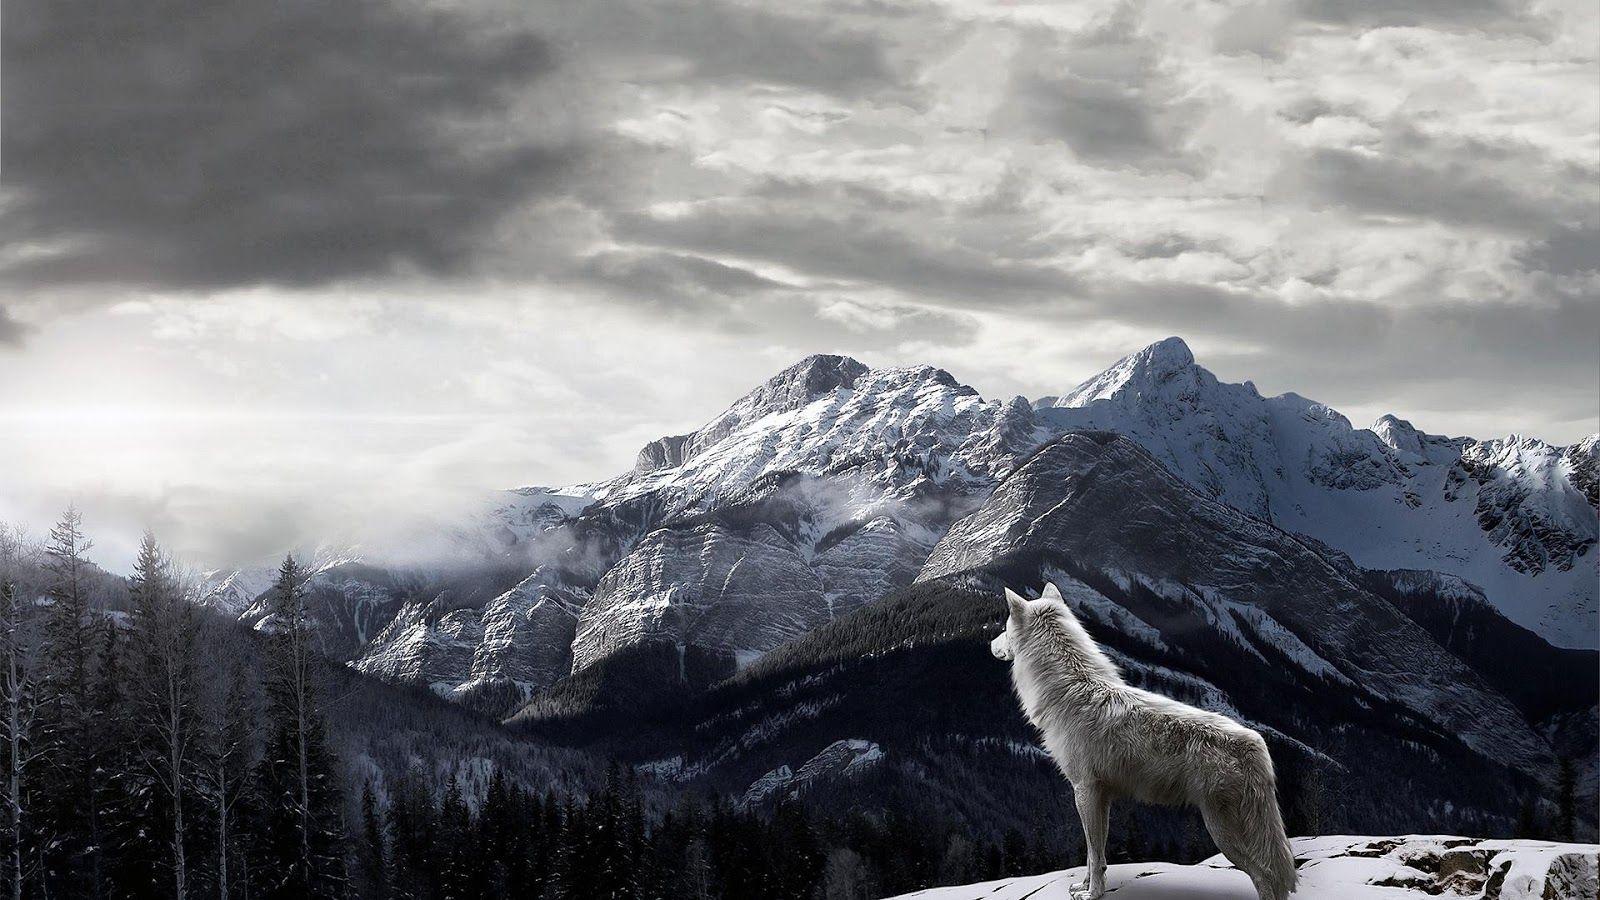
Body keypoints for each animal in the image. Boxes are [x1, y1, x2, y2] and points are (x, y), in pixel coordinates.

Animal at [990, 582, 1298, 900]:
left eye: (1004, 628)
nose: (990, 643)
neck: (1070, 690)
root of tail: (1255, 743)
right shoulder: (1101, 796)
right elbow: (1094, 854)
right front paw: (1085, 886)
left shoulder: (1084, 790)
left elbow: (1093, 853)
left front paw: (1092, 894)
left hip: (1223, 834)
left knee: (1266, 876)